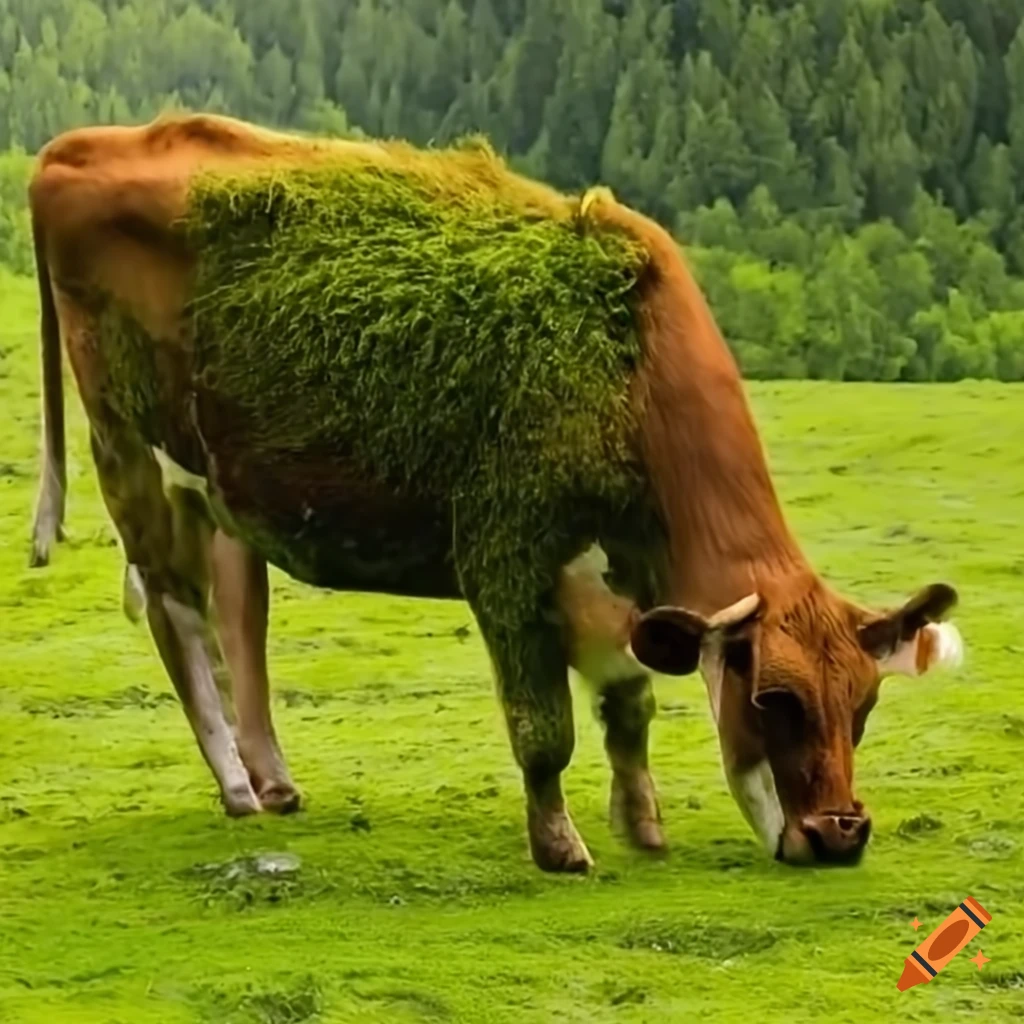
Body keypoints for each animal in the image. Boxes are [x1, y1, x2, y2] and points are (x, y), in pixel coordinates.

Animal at [27, 113, 963, 873]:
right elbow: (545, 728)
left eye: (865, 702)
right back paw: (234, 786)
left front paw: (642, 823)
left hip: (221, 486)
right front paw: (560, 845)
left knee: (235, 613)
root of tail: (82, 145)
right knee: (179, 616)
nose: (840, 834)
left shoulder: (606, 574)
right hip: (131, 454)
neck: (629, 364)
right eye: (774, 699)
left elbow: (630, 705)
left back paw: (274, 782)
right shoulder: (506, 556)